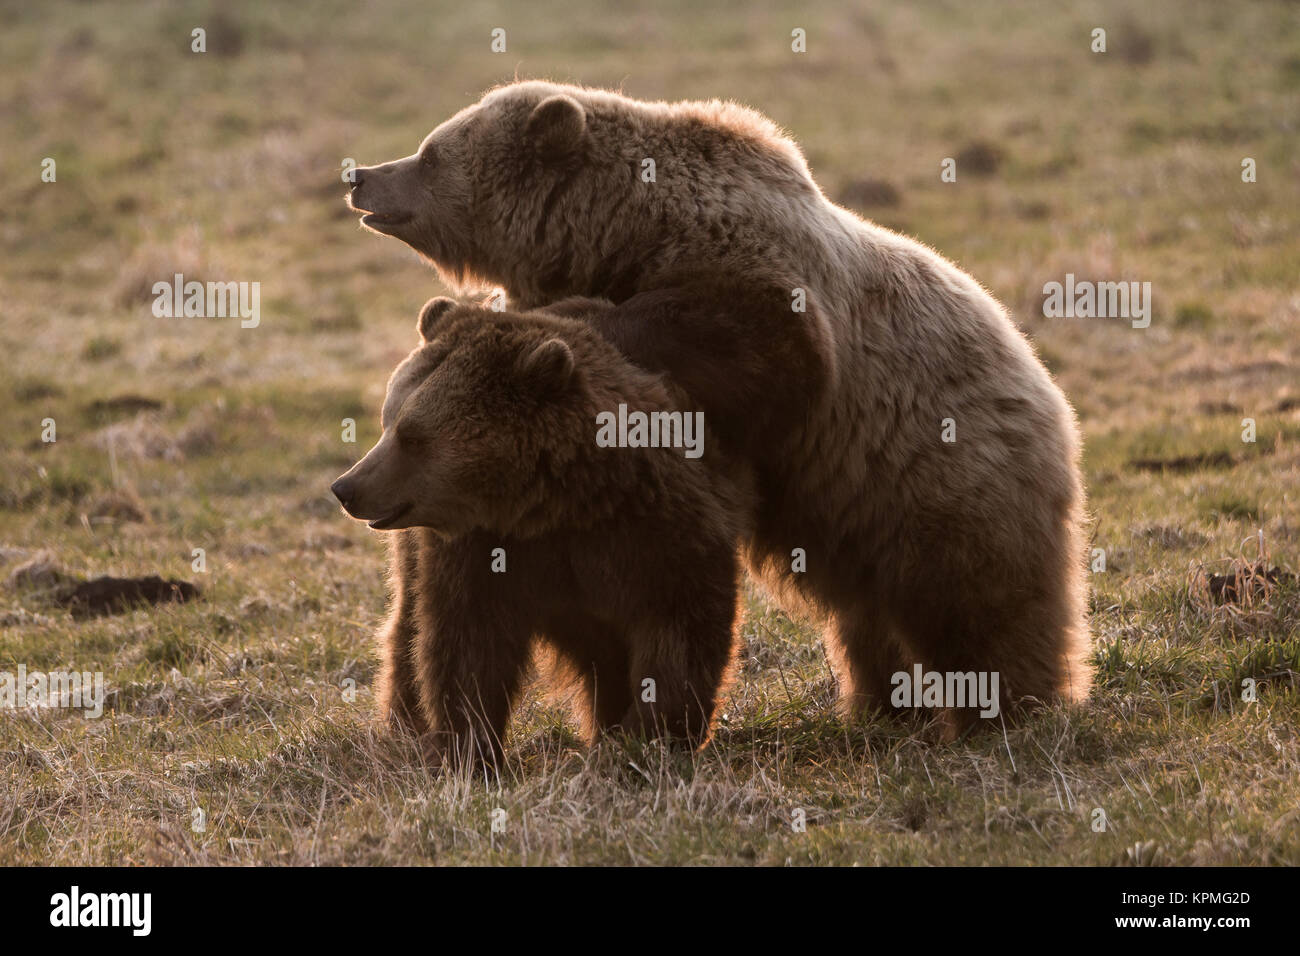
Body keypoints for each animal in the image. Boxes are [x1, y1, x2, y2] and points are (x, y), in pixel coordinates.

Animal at [331, 296, 754, 768]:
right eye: (388, 420)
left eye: (411, 436)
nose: (347, 488)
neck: (551, 505)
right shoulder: (483, 553)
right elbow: (467, 644)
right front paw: (471, 748)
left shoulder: (656, 528)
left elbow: (680, 626)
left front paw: (647, 736)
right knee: (409, 623)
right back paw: (406, 724)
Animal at [346, 81, 1093, 730]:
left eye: (432, 152)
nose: (362, 176)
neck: (621, 230)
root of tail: (1052, 396)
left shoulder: (761, 285)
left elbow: (751, 343)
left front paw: (571, 319)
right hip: (859, 521)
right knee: (870, 622)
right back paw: (883, 707)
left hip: (945, 483)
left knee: (982, 612)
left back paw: (1010, 710)